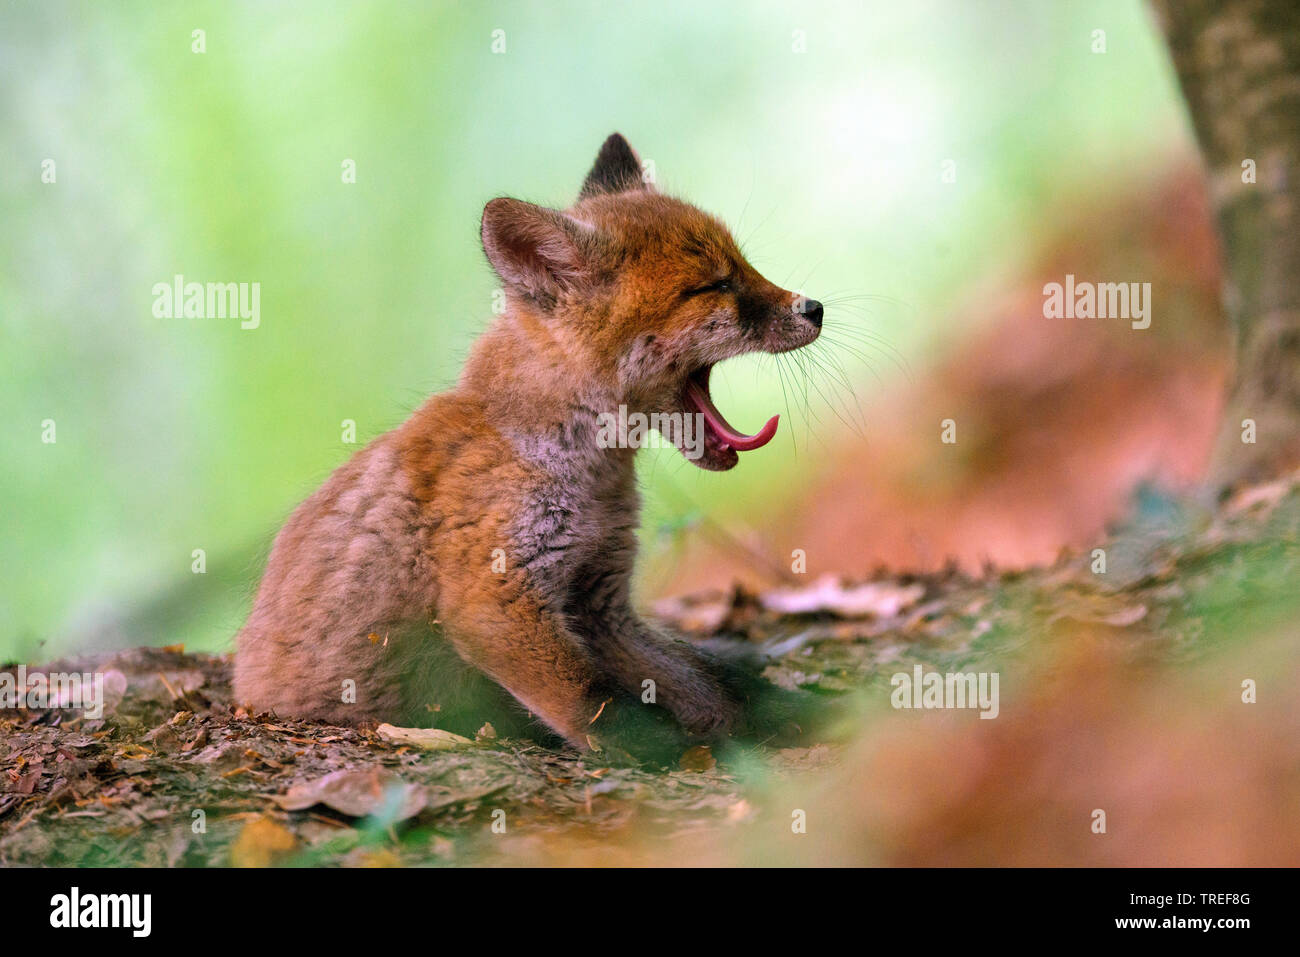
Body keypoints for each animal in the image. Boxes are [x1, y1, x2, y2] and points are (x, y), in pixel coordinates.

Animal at [234, 133, 826, 763]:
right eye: (714, 286)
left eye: (744, 266)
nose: (816, 308)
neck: (579, 474)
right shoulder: (495, 601)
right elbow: (602, 704)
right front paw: (672, 752)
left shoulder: (600, 606)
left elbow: (707, 681)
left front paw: (773, 715)